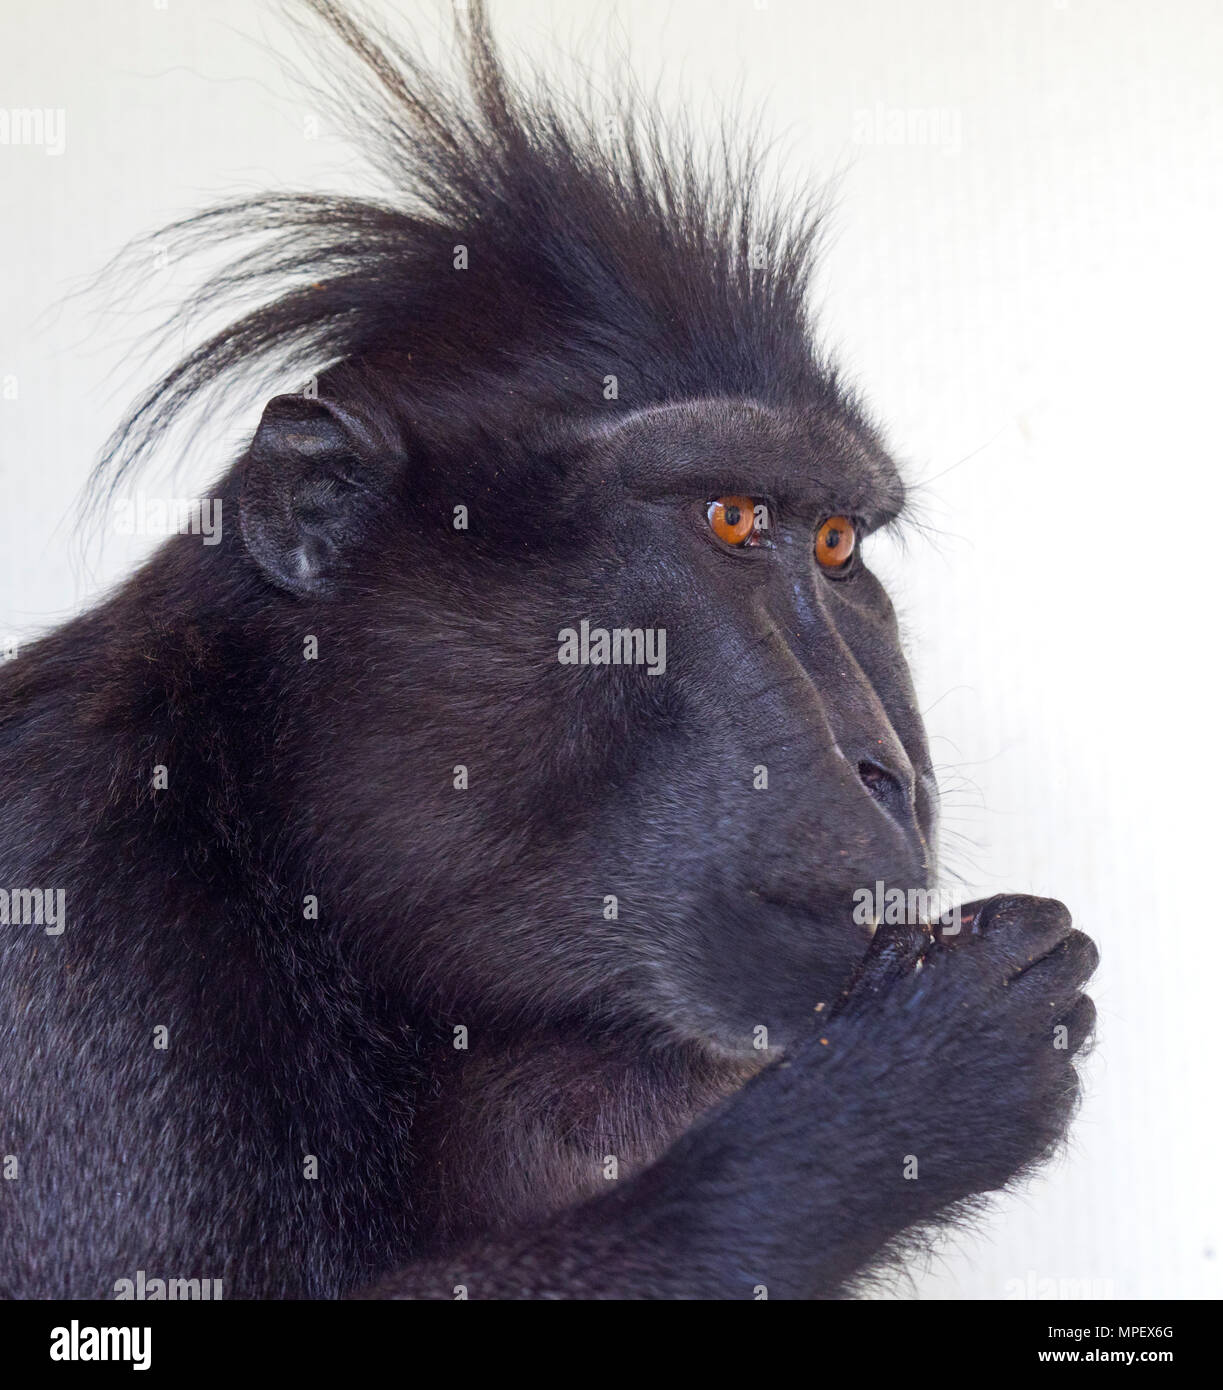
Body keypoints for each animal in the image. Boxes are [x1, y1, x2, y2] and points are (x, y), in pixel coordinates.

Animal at [0, 1, 1097, 1300]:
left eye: (835, 544)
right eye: (728, 520)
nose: (888, 773)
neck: (258, 834)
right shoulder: (72, 923)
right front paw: (893, 1097)